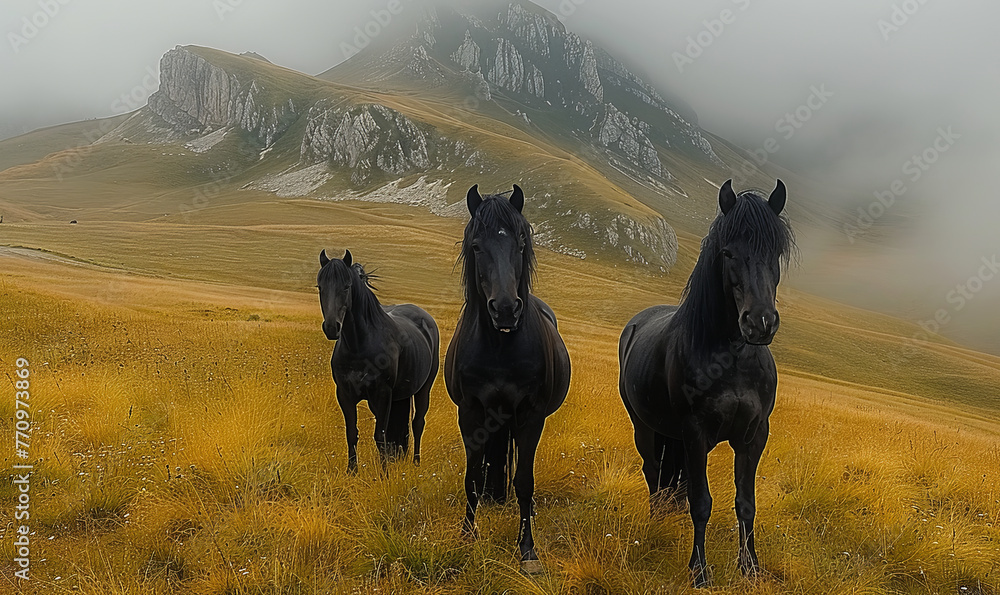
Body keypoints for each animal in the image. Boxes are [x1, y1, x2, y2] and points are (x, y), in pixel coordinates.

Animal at [317, 249, 440, 473]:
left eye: (346, 286)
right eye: (320, 287)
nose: (331, 328)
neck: (359, 345)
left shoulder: (382, 394)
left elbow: (380, 436)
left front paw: (384, 473)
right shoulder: (345, 394)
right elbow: (352, 433)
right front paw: (352, 471)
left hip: (423, 389)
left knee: (418, 424)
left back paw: (416, 463)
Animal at [445, 184, 571, 574]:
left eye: (520, 243)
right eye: (476, 246)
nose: (505, 309)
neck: (499, 346)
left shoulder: (530, 415)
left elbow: (524, 482)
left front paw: (527, 550)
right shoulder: (470, 413)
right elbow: (472, 478)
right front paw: (467, 535)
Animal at [618, 179, 793, 587]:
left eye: (775, 252)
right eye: (728, 252)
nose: (760, 322)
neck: (734, 359)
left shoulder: (754, 436)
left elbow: (746, 504)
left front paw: (750, 568)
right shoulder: (695, 432)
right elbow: (701, 503)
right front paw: (699, 570)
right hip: (645, 428)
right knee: (654, 474)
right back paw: (656, 523)